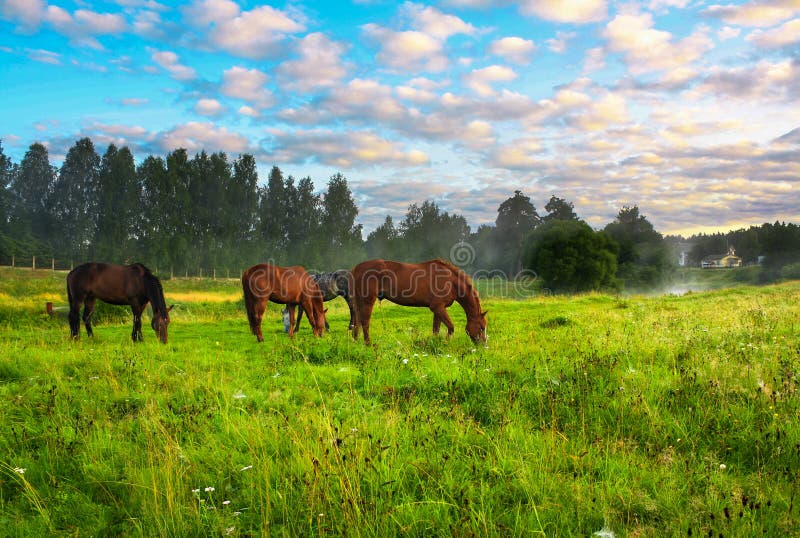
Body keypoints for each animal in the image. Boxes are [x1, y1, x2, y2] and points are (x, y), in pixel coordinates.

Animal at [350, 258, 487, 345]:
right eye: (481, 327)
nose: (483, 346)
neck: (450, 281)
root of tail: (356, 268)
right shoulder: (437, 307)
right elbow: (451, 327)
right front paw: (445, 343)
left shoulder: (438, 309)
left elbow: (436, 329)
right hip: (367, 300)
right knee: (364, 322)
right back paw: (368, 344)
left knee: (356, 322)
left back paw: (356, 342)